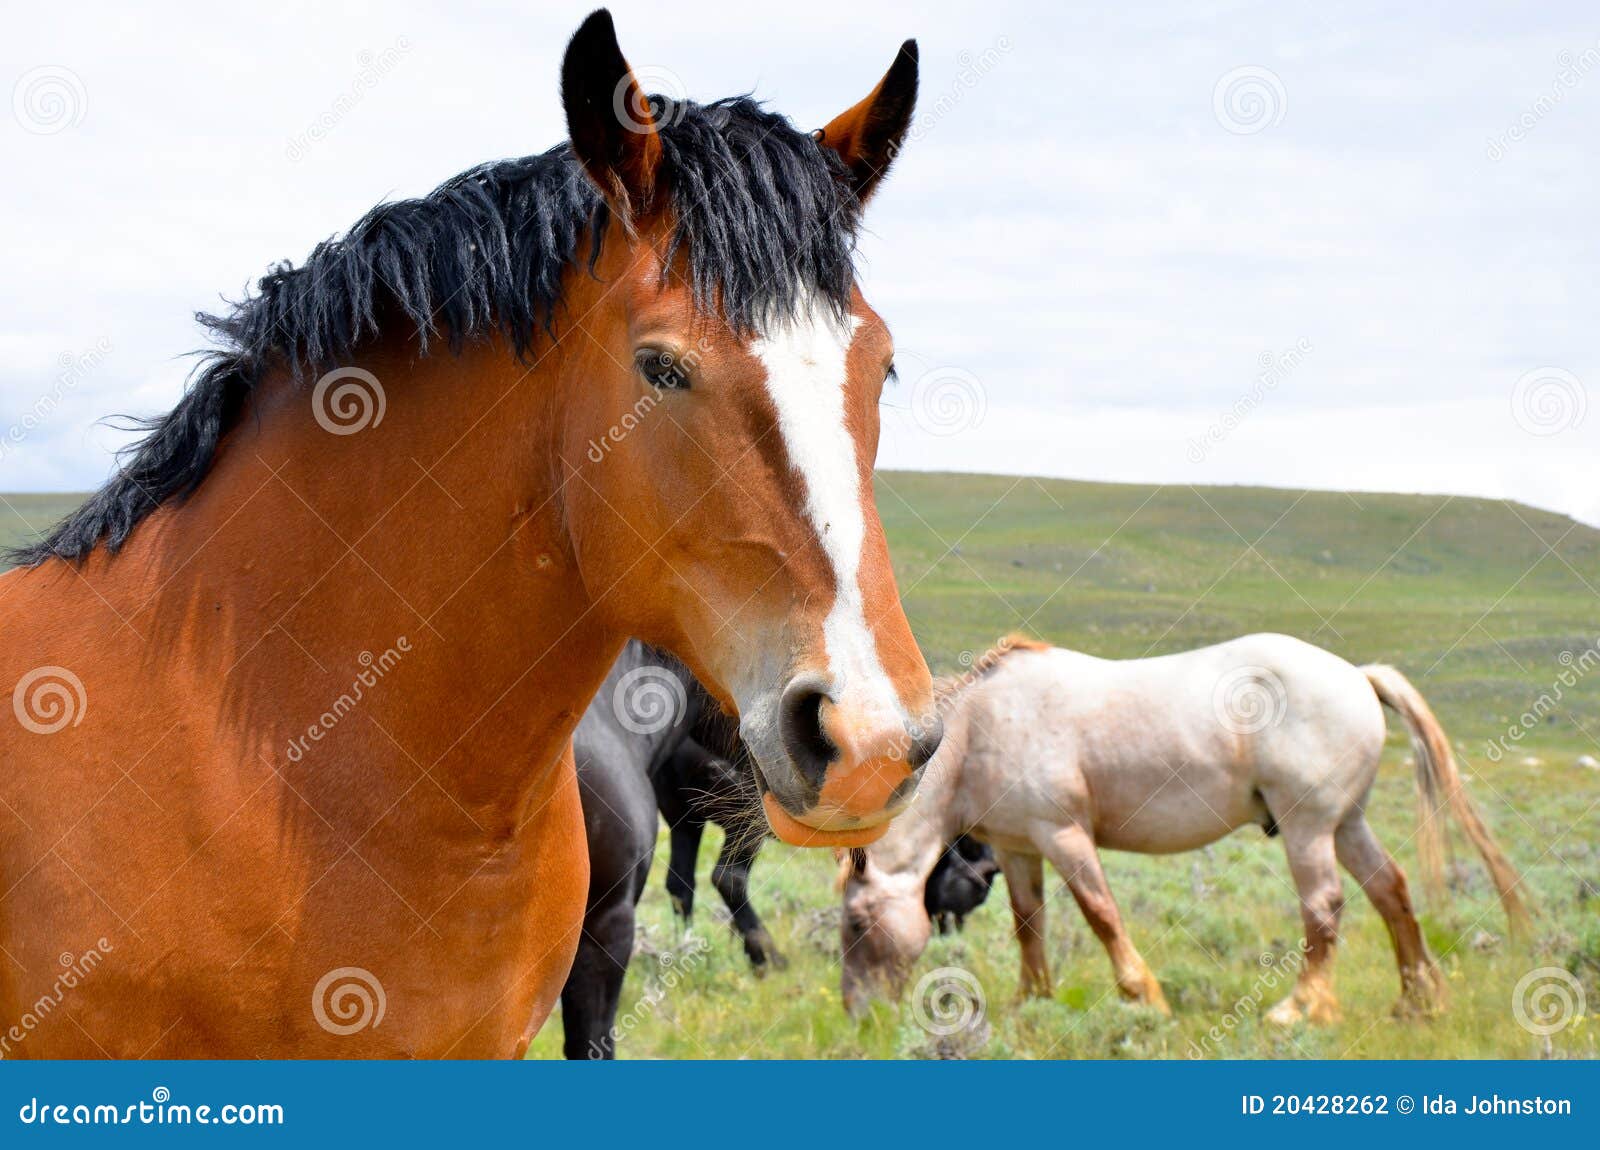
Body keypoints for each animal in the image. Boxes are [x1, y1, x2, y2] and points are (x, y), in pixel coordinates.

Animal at [840, 634, 1528, 1026]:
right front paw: (1030, 1002)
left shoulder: (1063, 834)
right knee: (1391, 891)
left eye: (855, 922)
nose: (857, 1014)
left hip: (1308, 829)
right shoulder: (1017, 849)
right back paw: (1416, 1002)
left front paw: (1144, 998)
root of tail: (1359, 673)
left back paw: (1301, 1009)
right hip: (1346, 824)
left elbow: (1101, 914)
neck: (981, 728)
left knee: (1325, 906)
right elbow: (1028, 924)